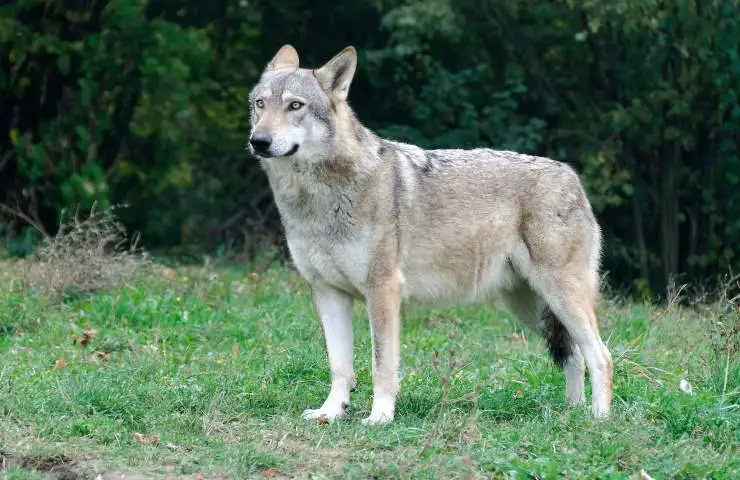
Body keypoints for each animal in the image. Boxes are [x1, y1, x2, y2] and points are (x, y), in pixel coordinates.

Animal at [246, 44, 613, 425]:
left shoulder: (382, 290)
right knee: (574, 355)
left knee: (600, 354)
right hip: (531, 307)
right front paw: (331, 413)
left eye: (295, 105)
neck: (317, 198)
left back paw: (598, 418)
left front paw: (380, 417)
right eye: (260, 104)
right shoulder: (328, 292)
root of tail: (571, 175)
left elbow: (381, 365)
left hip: (559, 296)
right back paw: (570, 414)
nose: (259, 141)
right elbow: (340, 366)